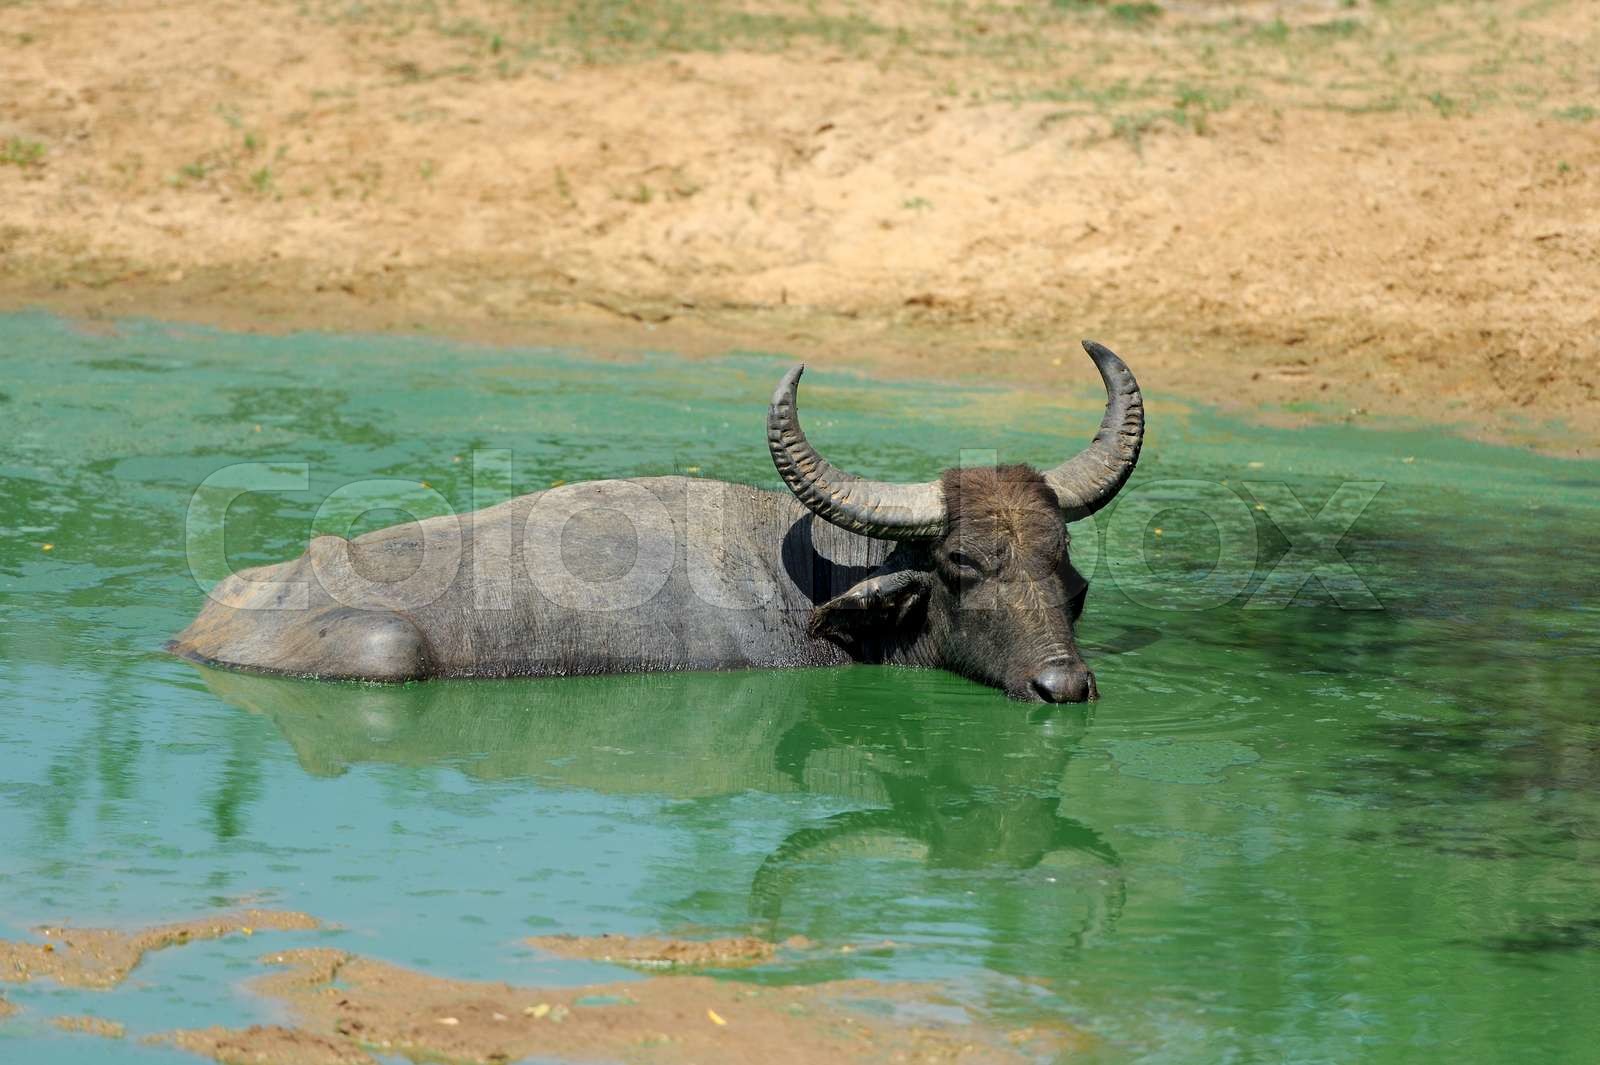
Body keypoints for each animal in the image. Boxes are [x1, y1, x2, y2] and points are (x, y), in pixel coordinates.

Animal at [170, 341, 1144, 702]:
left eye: (1064, 568)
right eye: (963, 564)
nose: (1062, 683)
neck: (810, 585)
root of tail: (212, 618)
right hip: (385, 647)